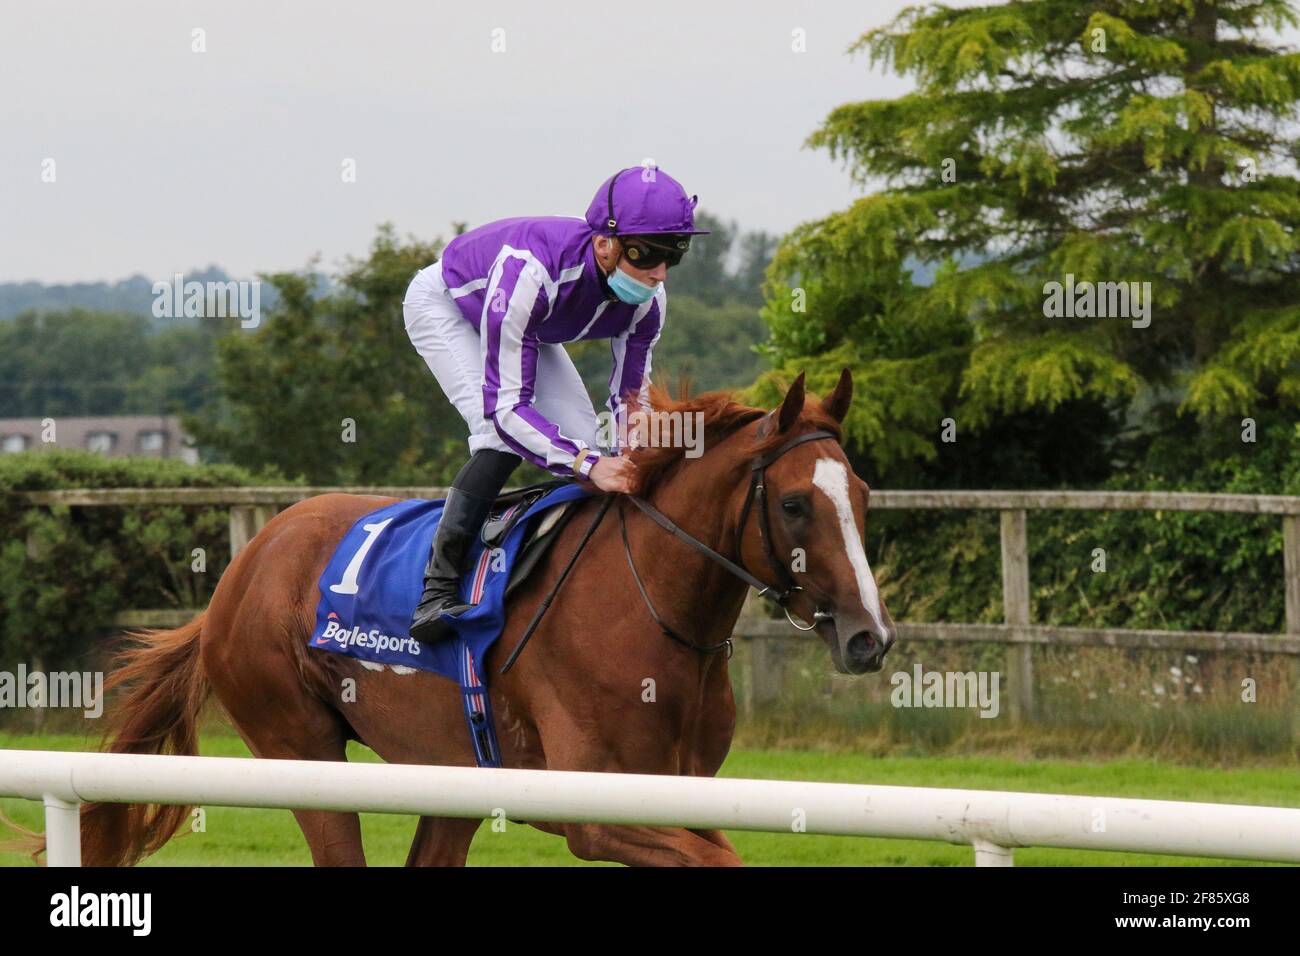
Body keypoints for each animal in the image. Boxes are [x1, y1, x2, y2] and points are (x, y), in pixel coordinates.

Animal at [68, 369, 895, 866]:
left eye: (860, 495)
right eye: (795, 504)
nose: (870, 638)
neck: (652, 609)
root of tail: (236, 578)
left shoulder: (684, 791)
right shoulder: (589, 812)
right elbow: (720, 858)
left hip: (451, 774)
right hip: (298, 749)